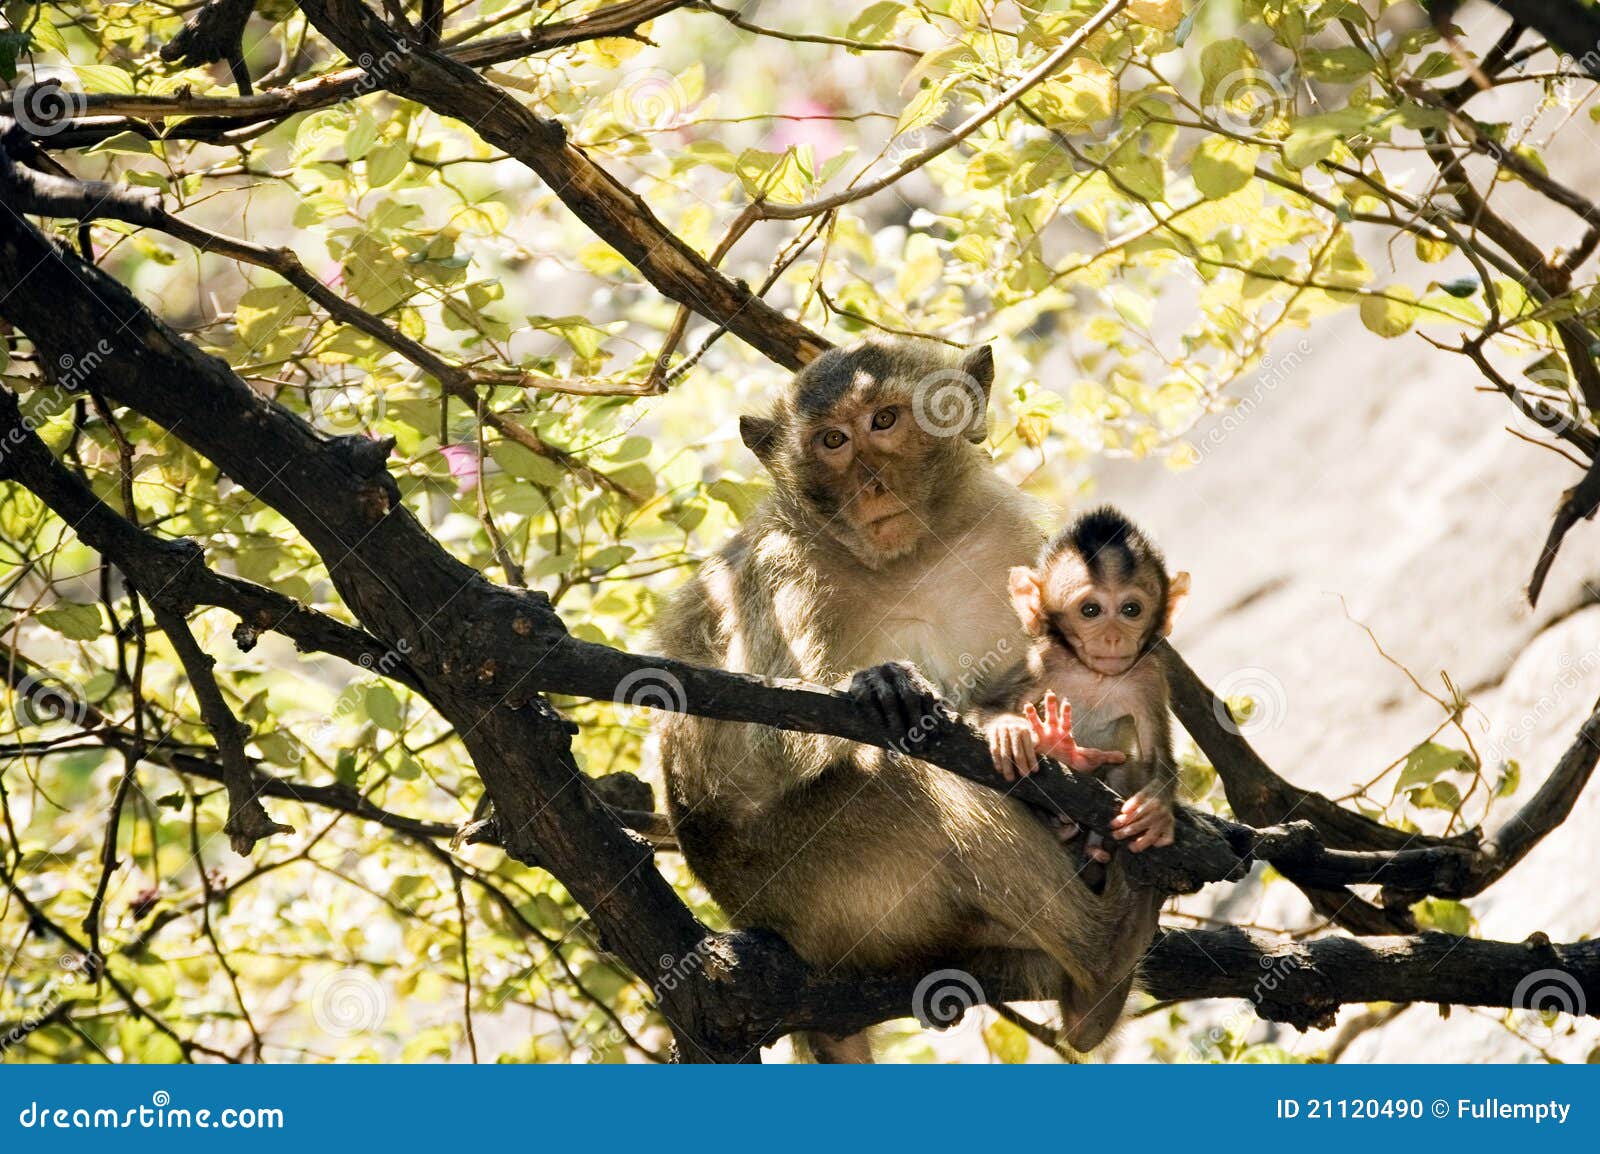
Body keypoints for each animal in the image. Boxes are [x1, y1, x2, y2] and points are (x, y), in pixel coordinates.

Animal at [652, 337, 1139, 1061]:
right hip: (808, 882)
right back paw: (1101, 973)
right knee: (909, 765)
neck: (910, 560)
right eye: (832, 441)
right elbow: (768, 741)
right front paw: (882, 683)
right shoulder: (779, 572)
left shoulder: (1006, 539)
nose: (869, 485)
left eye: (883, 421)